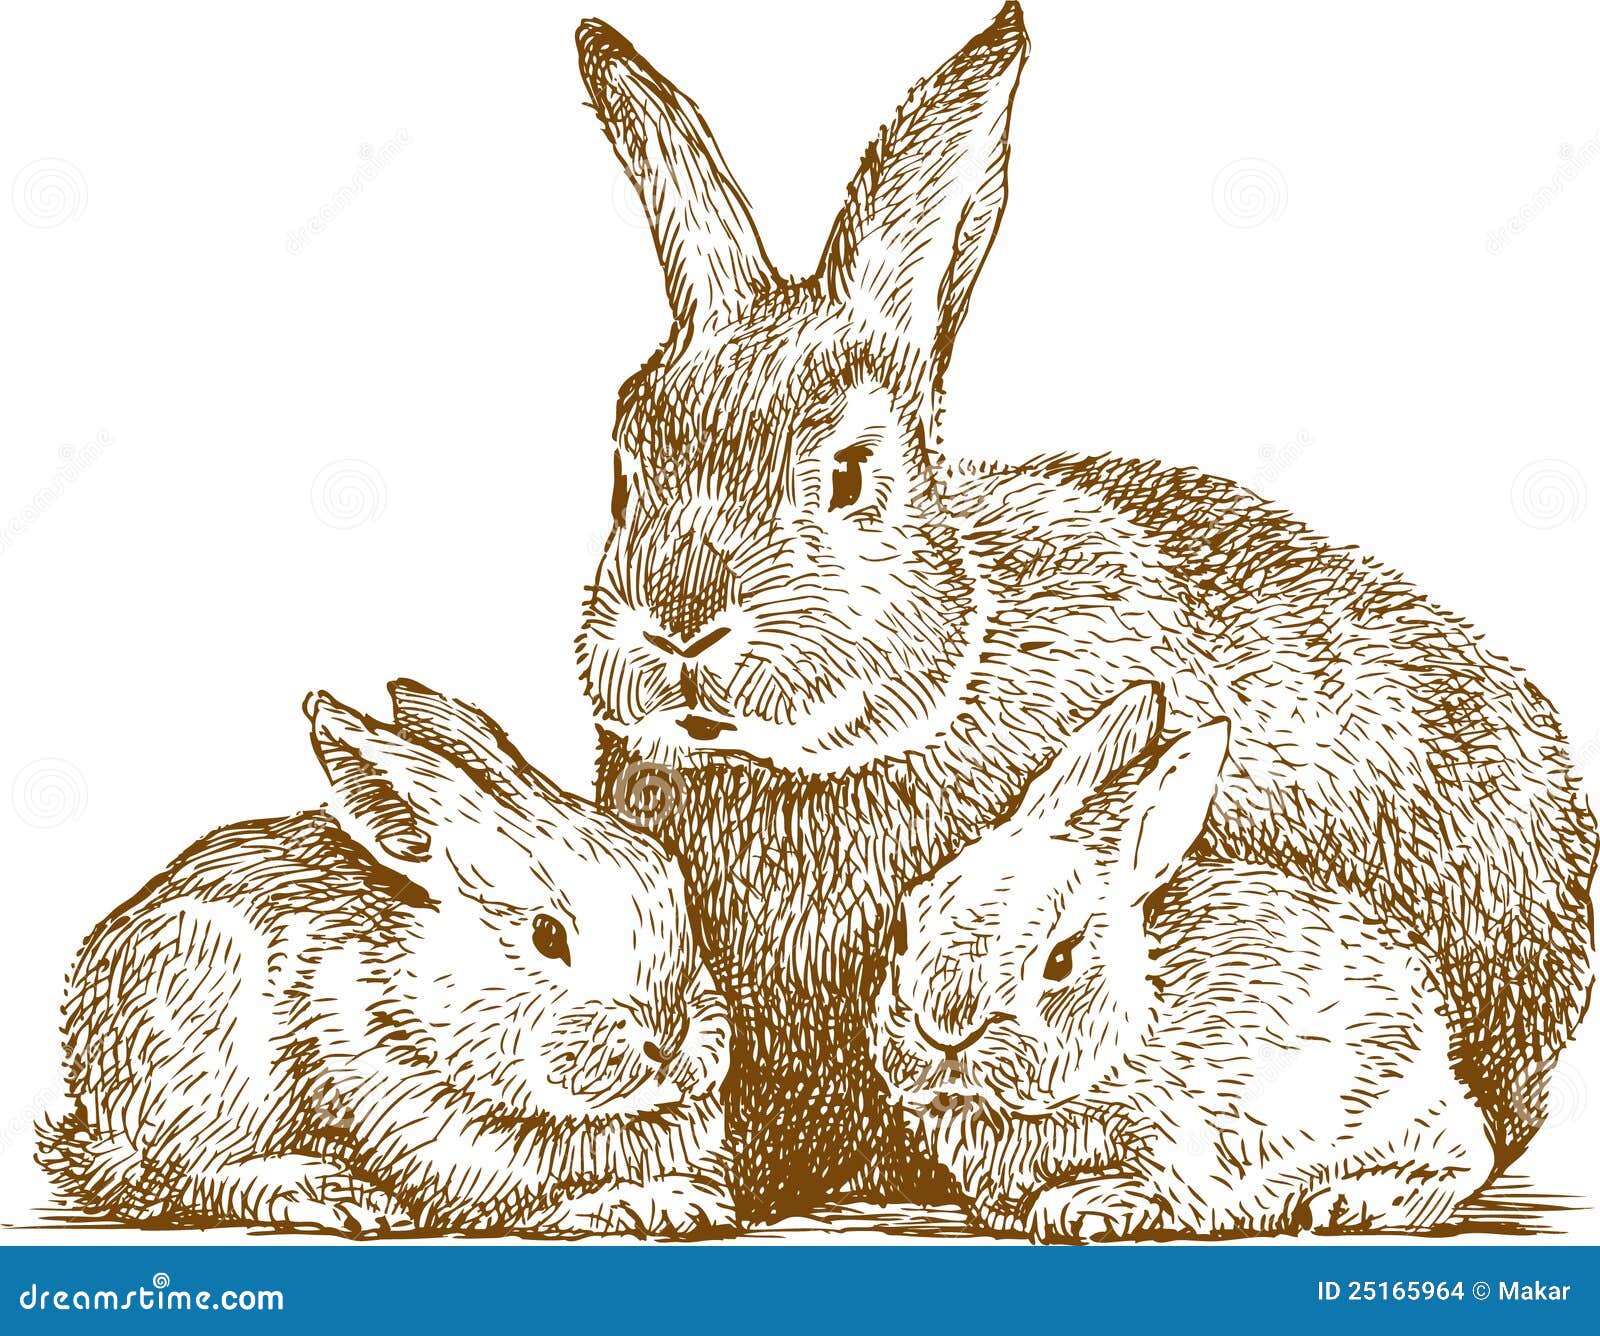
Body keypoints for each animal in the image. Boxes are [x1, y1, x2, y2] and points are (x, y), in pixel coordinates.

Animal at [39, 680, 732, 1237]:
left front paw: (692, 1202)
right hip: (211, 1046)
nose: (670, 1040)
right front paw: (639, 1205)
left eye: (681, 911)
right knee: (203, 1170)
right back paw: (330, 1194)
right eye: (546, 935)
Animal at [873, 683, 1496, 1240]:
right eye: (904, 925)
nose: (946, 1030)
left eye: (1060, 960)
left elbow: (1160, 1188)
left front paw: (1075, 1207)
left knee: (1466, 1163)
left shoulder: (1197, 1144)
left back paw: (1350, 1202)